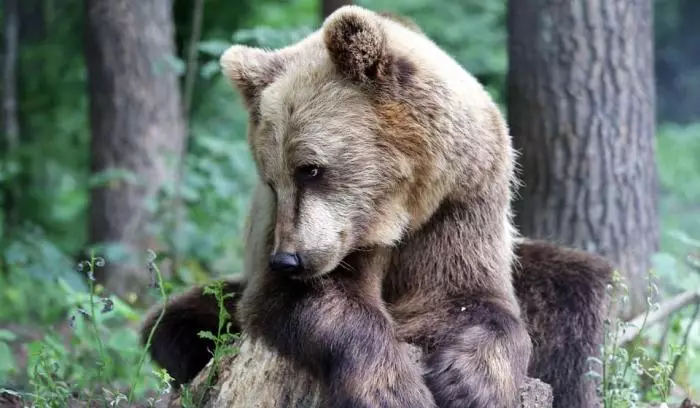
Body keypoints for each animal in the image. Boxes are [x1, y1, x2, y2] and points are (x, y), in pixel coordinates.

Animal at [139, 6, 608, 408]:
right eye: (271, 181)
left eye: (310, 169)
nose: (287, 259)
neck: (401, 208)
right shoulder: (331, 238)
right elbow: (317, 299)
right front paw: (392, 388)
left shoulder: (460, 202)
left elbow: (468, 297)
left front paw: (469, 381)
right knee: (174, 324)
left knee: (573, 291)